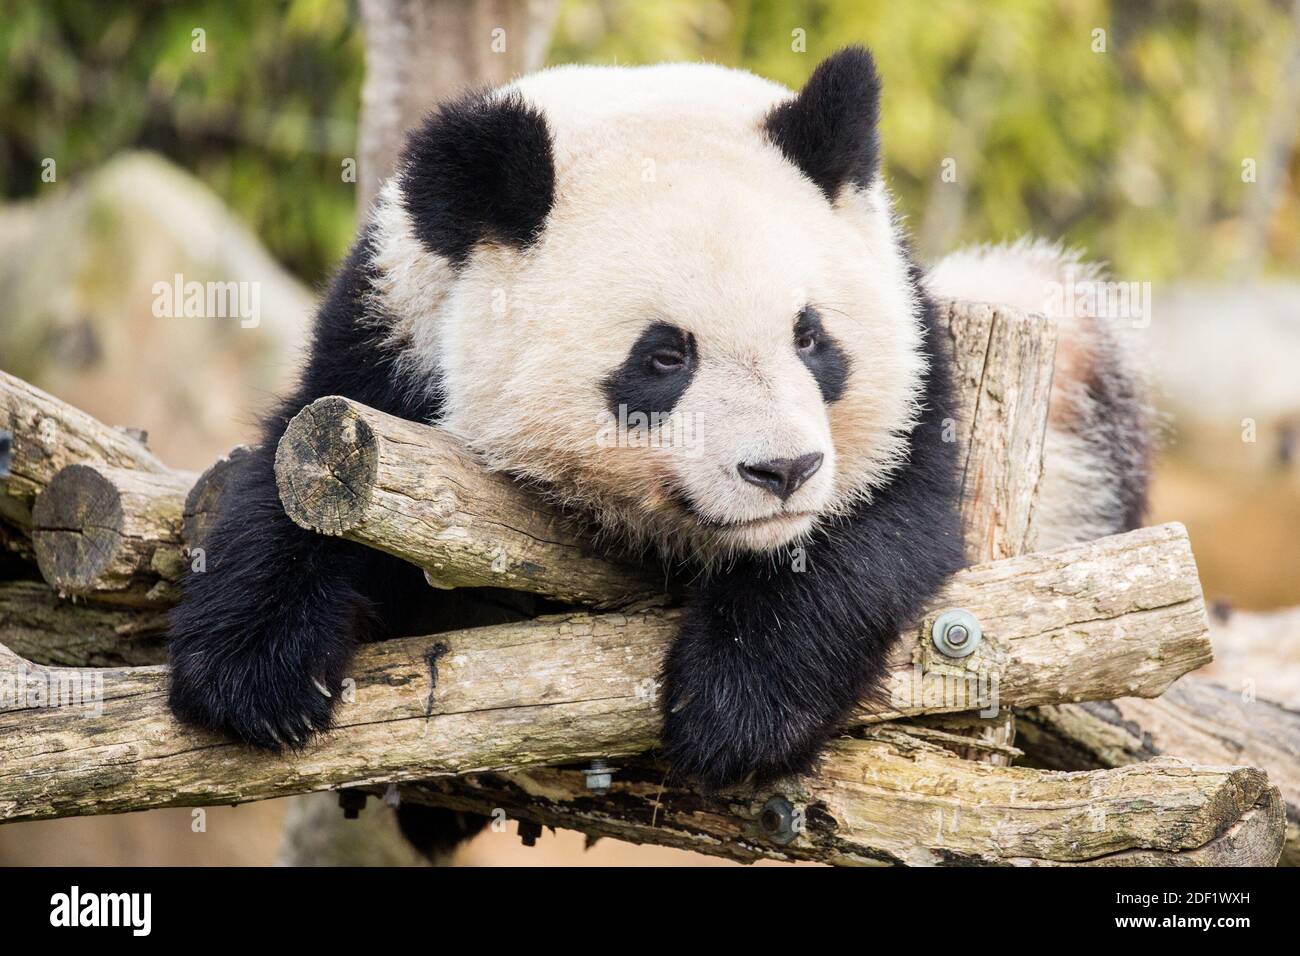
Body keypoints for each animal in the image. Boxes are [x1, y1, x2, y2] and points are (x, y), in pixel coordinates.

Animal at [168, 48, 1148, 803]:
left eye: (810, 336)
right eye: (665, 356)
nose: (782, 471)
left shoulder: (916, 385)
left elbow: (878, 531)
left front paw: (737, 713)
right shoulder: (388, 334)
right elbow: (308, 463)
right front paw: (254, 675)